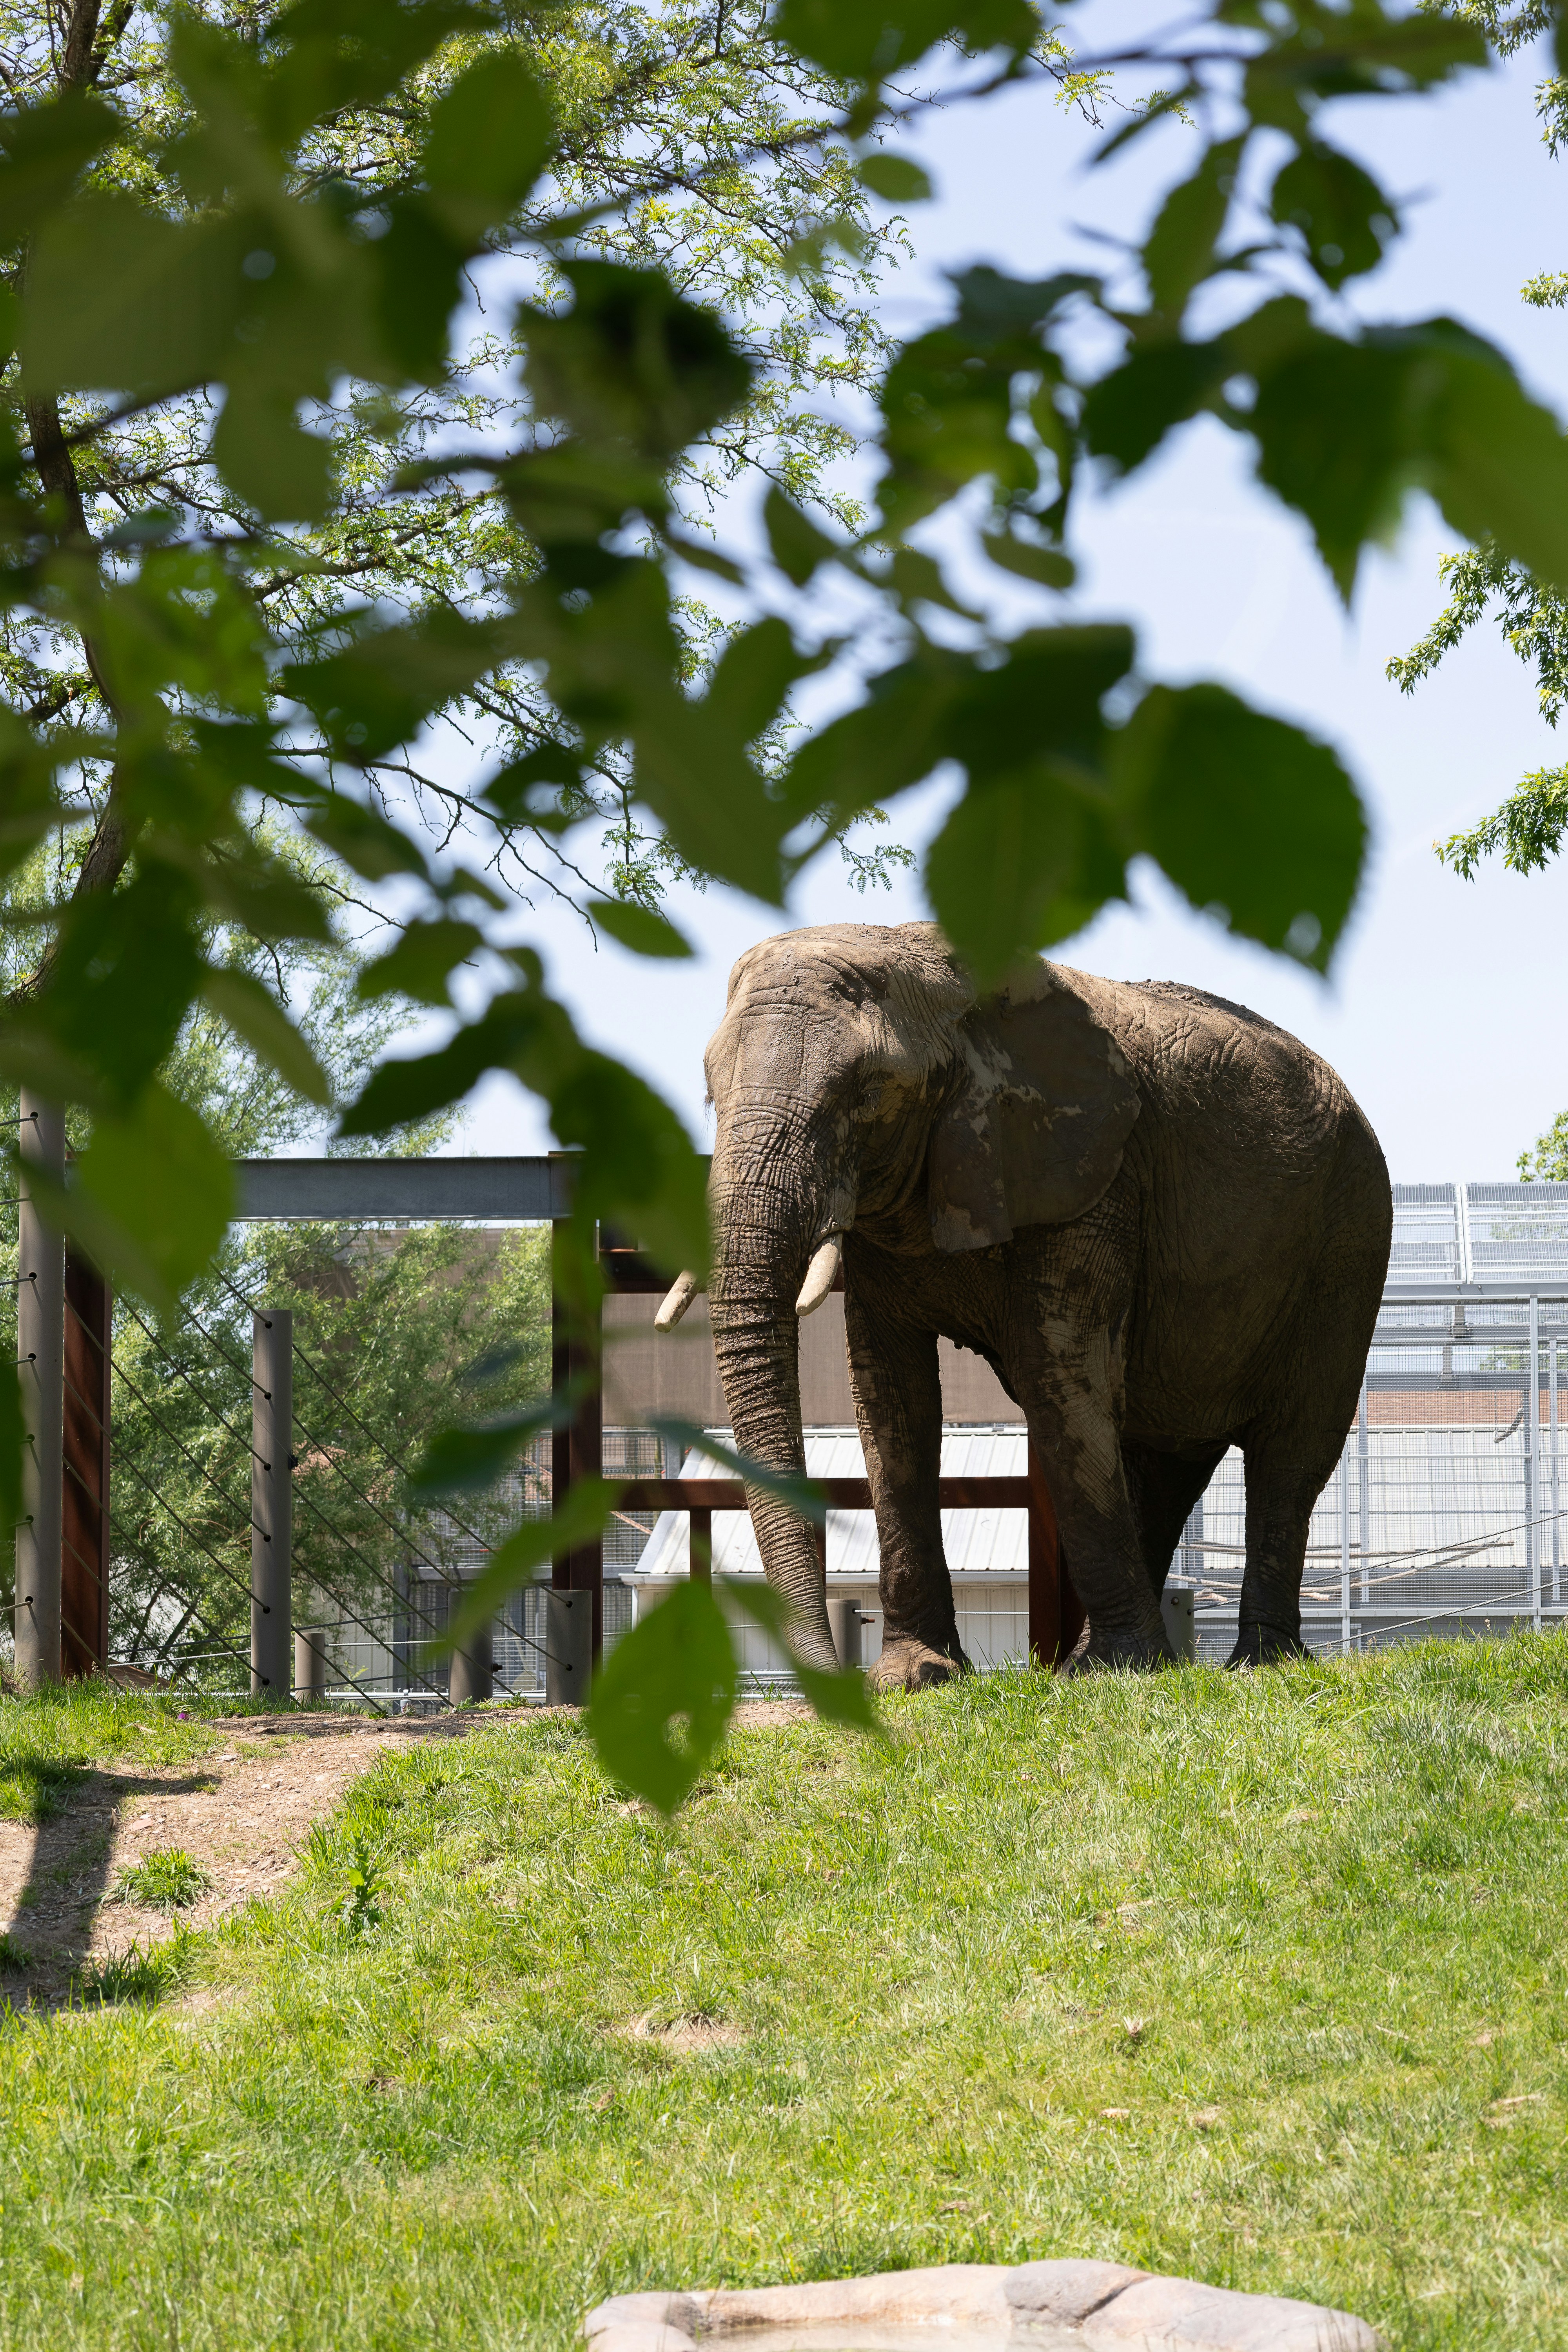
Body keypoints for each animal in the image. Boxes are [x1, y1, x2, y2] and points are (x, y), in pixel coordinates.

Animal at [657, 922, 1392, 1687]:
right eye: (709, 1091)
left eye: (869, 1092)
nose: (833, 1673)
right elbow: (892, 1401)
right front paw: (917, 1677)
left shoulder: (1095, 1179)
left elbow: (1056, 1374)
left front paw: (1112, 1674)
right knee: (1164, 1463)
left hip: (1349, 1238)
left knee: (1292, 1451)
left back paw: (1250, 1663)